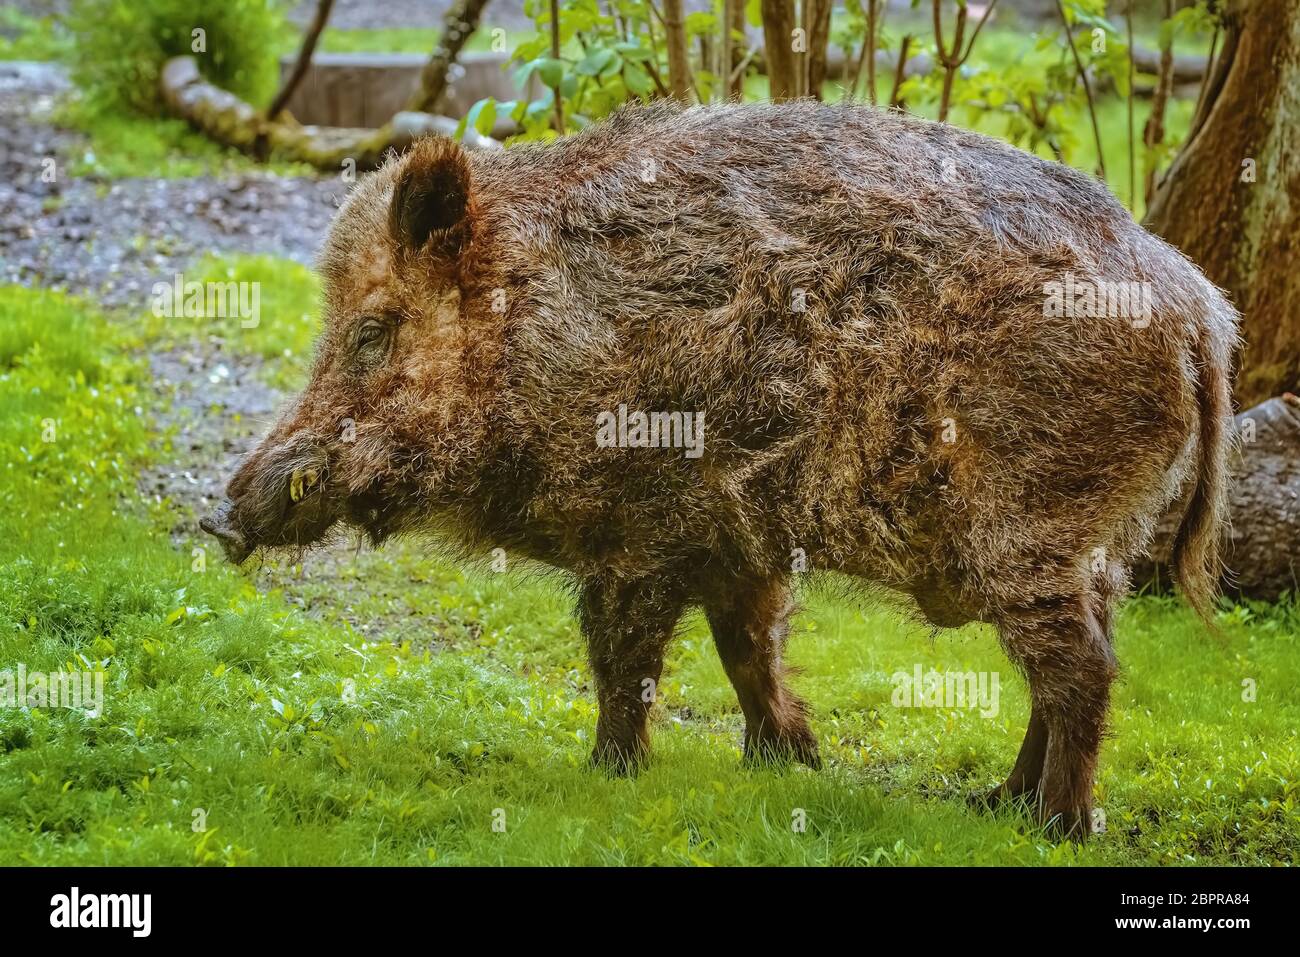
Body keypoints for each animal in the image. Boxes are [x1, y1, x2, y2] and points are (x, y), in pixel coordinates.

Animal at [201, 100, 1237, 838]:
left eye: (372, 329)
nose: (220, 514)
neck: (536, 334)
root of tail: (1201, 310)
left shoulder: (639, 529)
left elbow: (623, 659)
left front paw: (605, 775)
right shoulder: (736, 531)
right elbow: (746, 648)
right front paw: (789, 761)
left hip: (1033, 528)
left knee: (1082, 671)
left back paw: (1053, 826)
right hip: (1098, 541)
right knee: (1075, 664)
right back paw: (994, 804)